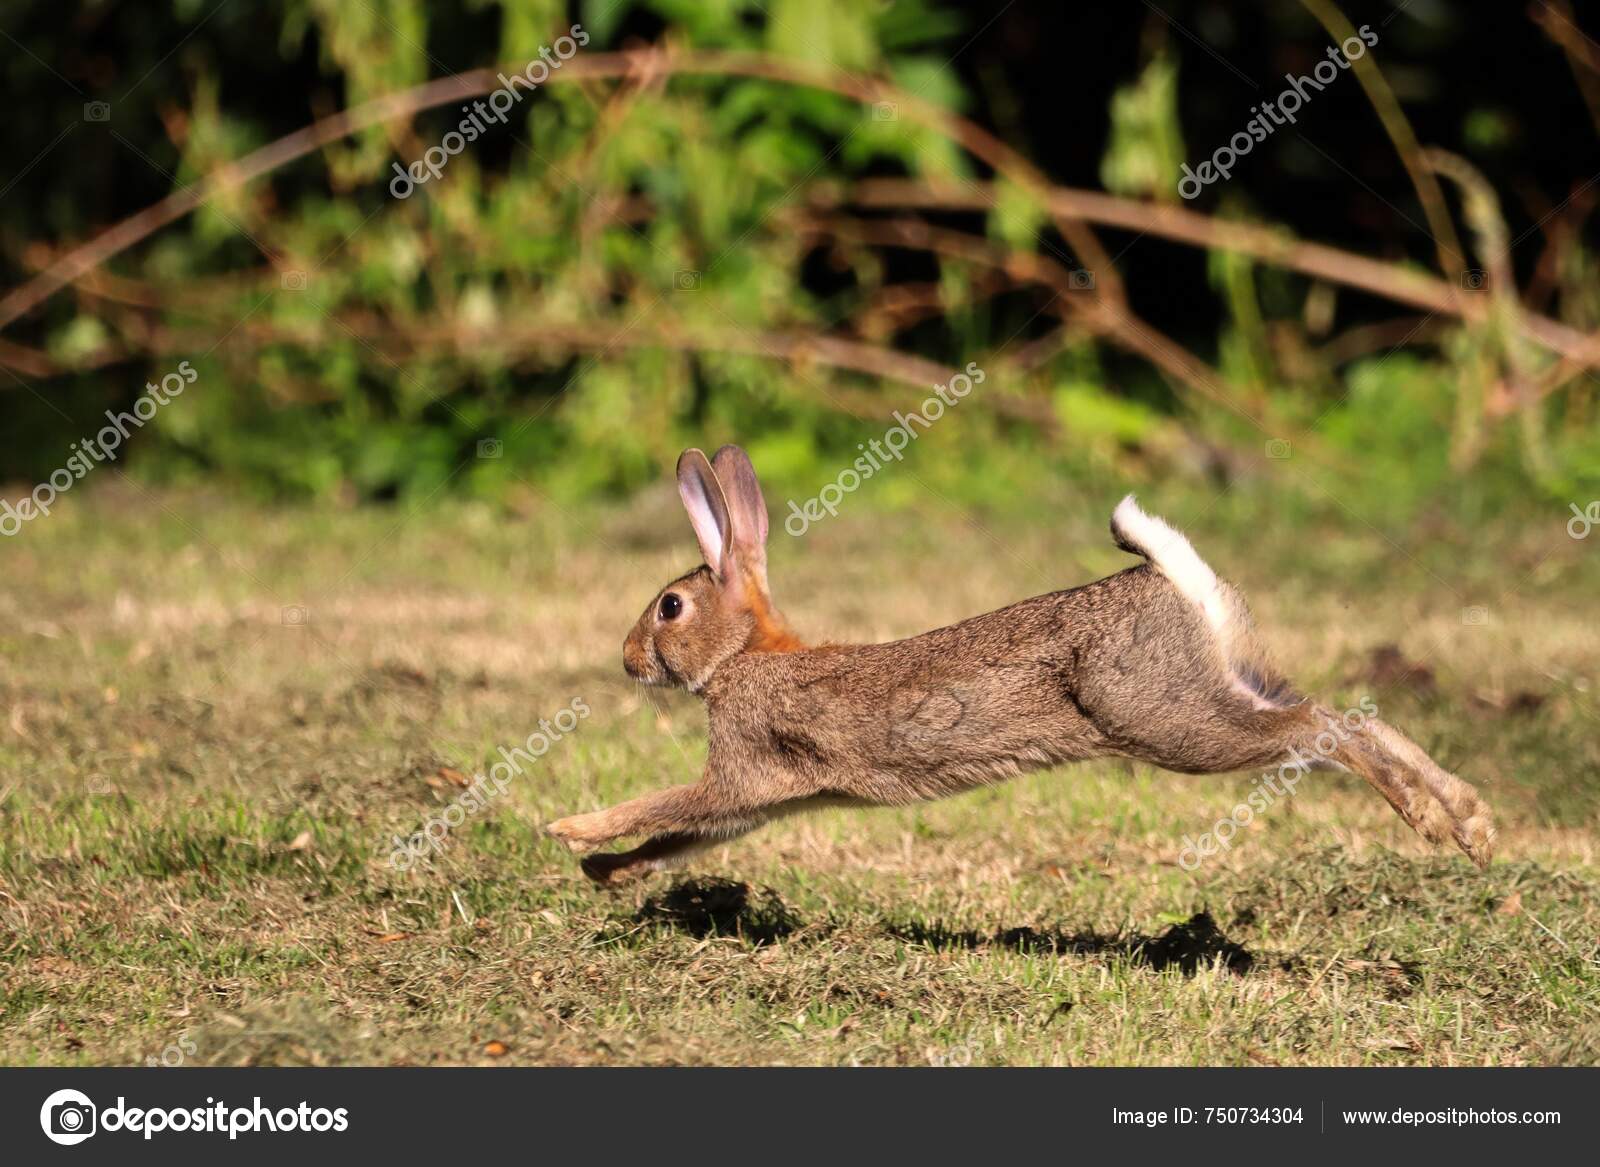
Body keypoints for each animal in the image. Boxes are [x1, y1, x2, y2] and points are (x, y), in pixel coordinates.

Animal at [546, 444, 1495, 885]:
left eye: (670, 606)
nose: (626, 659)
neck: (744, 655)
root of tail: (1171, 579)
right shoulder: (762, 798)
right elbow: (680, 837)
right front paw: (608, 874)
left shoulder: (741, 768)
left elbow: (665, 805)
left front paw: (569, 830)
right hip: (1238, 680)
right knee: (1345, 713)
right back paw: (1472, 821)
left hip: (1172, 722)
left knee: (1318, 727)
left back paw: (1431, 819)